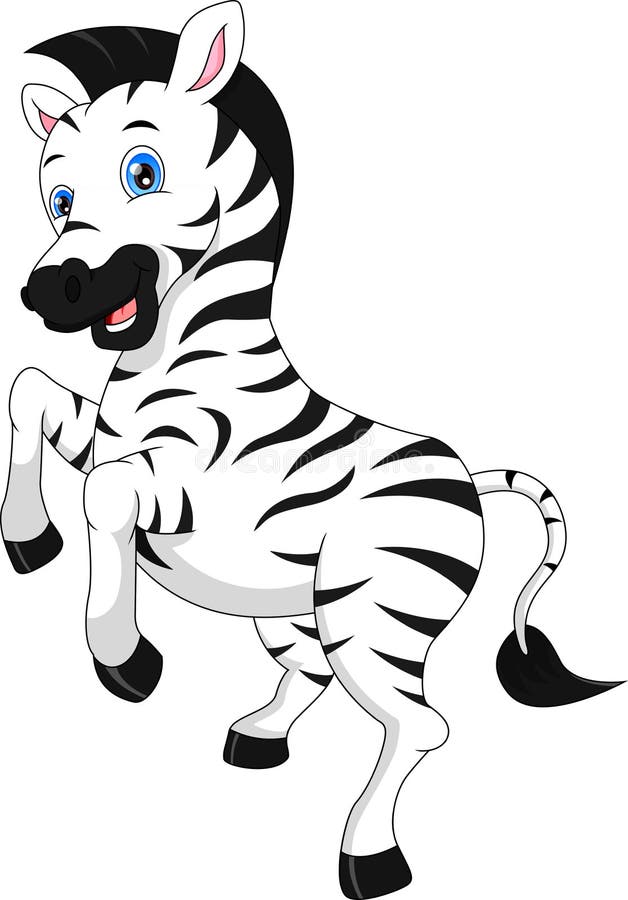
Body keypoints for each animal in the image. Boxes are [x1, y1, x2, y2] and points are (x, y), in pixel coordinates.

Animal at [3, 4, 622, 898]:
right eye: (57, 198)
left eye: (143, 173)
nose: (52, 291)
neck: (165, 359)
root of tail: (468, 480)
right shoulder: (97, 435)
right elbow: (29, 391)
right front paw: (27, 537)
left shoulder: (189, 483)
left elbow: (105, 493)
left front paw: (125, 658)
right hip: (299, 610)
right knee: (315, 673)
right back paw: (259, 737)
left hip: (376, 611)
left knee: (420, 725)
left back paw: (371, 859)